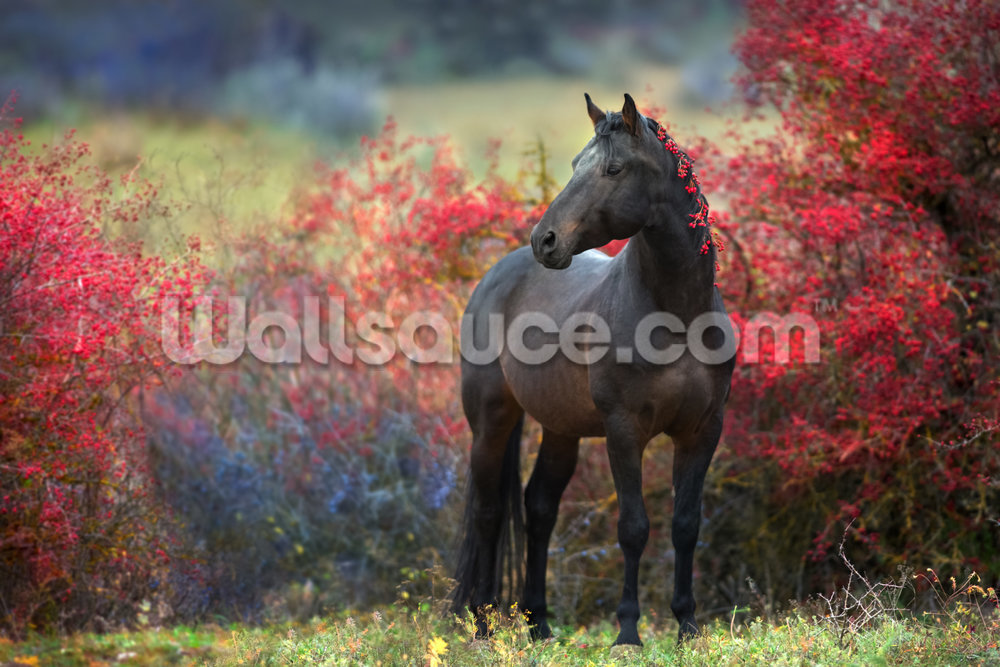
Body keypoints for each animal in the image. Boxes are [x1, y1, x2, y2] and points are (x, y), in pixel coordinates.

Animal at [451, 93, 735, 646]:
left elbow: (686, 525)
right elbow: (633, 527)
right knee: (489, 513)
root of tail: (497, 274)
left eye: (614, 168)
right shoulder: (623, 431)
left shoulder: (702, 431)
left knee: (539, 507)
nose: (545, 240)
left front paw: (687, 626)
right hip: (492, 422)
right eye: (573, 165)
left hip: (561, 429)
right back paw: (482, 625)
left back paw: (539, 624)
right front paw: (628, 632)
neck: (677, 316)